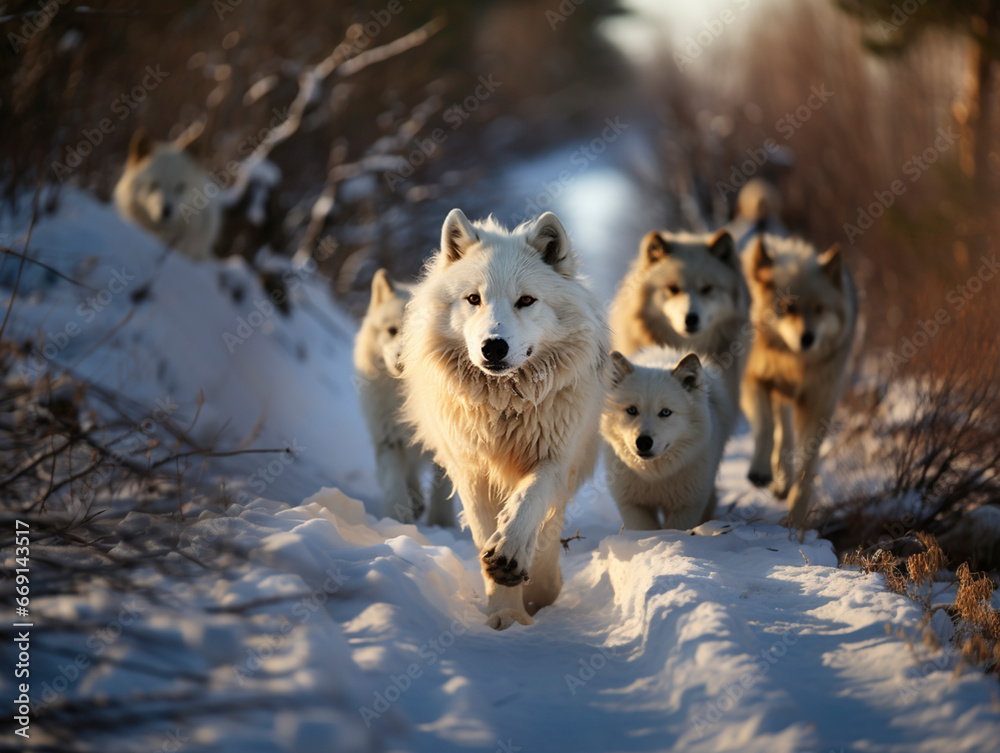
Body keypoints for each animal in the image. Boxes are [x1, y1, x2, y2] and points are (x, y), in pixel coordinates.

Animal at [354, 269, 453, 527]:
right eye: (392, 330)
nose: (403, 360)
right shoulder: (388, 439)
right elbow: (394, 486)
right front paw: (397, 524)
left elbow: (442, 490)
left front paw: (441, 525)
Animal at [399, 208, 608, 630]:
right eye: (473, 299)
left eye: (526, 300)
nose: (493, 347)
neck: (504, 406)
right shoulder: (471, 472)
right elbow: (485, 532)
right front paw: (505, 614)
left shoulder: (554, 460)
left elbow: (529, 504)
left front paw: (514, 562)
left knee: (549, 527)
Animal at [602, 347, 735, 530]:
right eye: (632, 410)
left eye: (665, 412)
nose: (643, 442)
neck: (656, 476)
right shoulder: (633, 505)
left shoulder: (687, 506)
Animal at [742, 235, 857, 528]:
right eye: (787, 307)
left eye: (819, 309)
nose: (808, 338)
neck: (793, 363)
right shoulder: (752, 381)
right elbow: (766, 426)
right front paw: (760, 471)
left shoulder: (818, 405)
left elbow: (807, 470)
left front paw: (795, 519)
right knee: (780, 429)